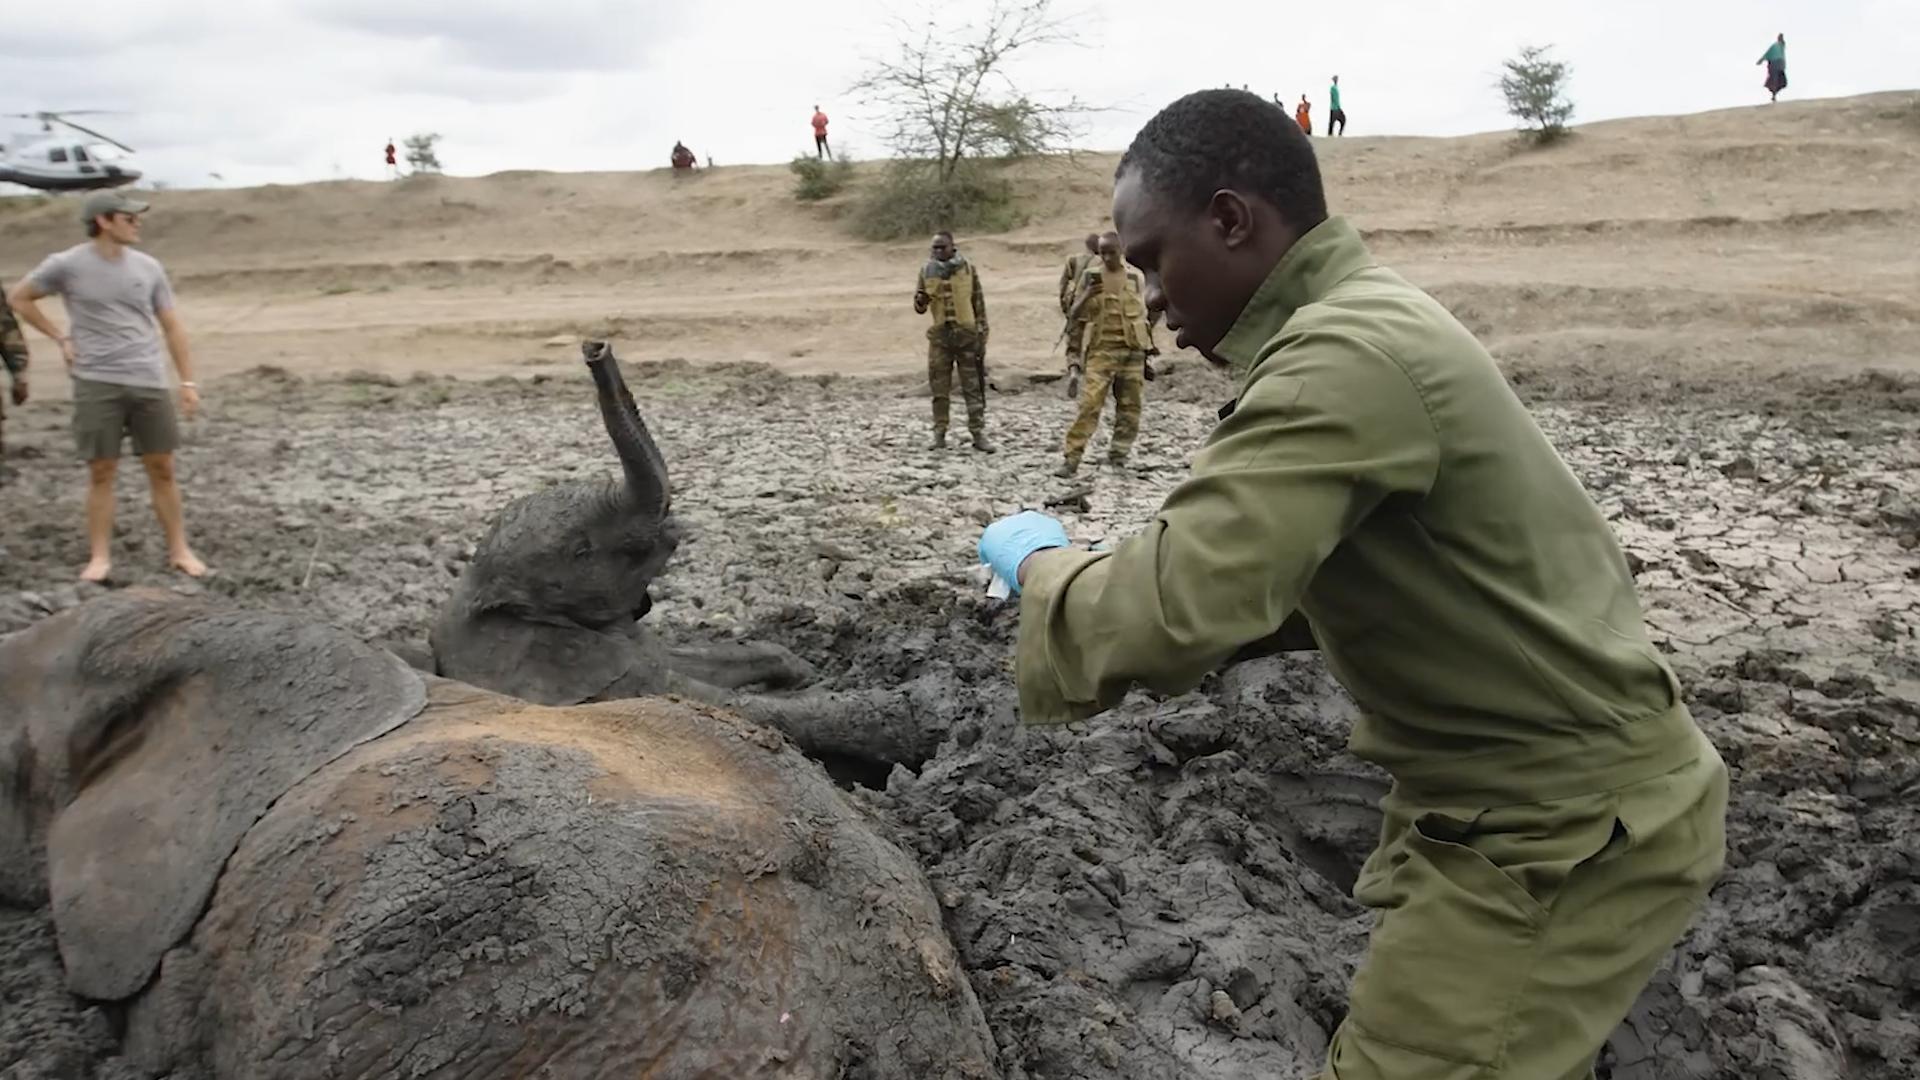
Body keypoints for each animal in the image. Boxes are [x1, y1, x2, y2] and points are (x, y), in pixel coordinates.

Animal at [427, 341, 956, 768]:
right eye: (580, 550)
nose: (595, 350)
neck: (470, 591)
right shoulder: (599, 680)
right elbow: (737, 707)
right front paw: (910, 713)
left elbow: (708, 656)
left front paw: (804, 672)